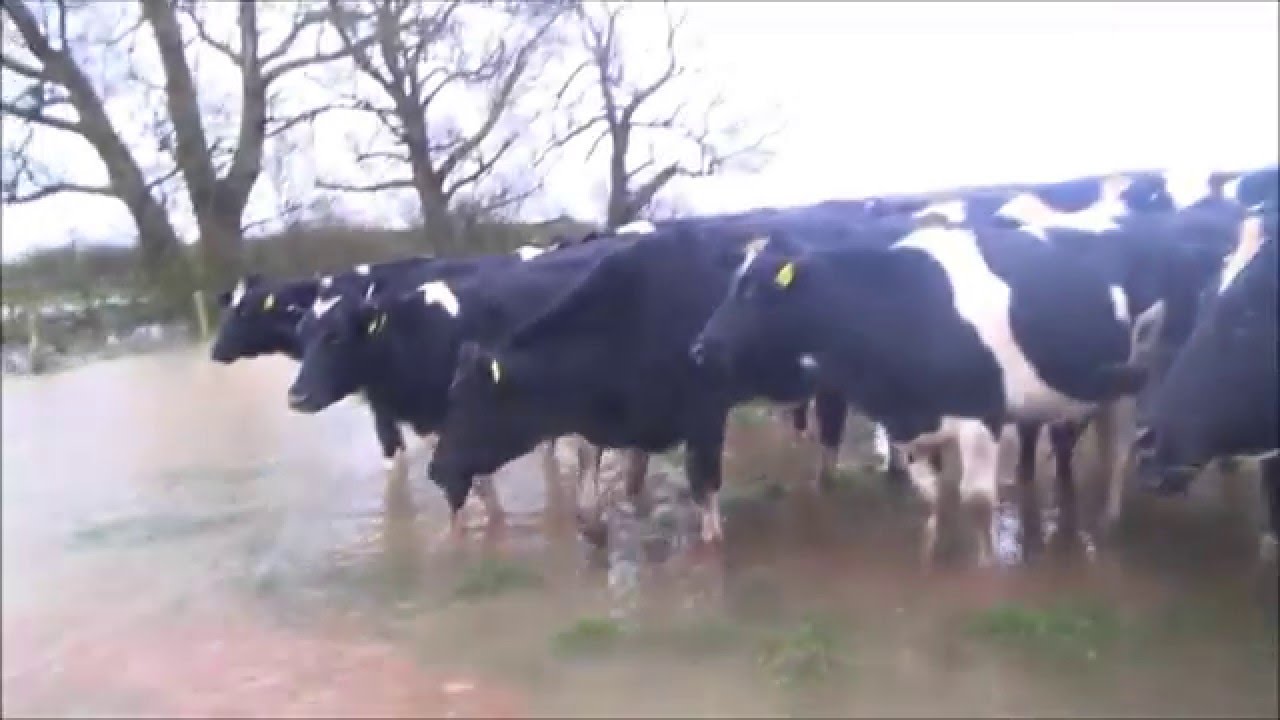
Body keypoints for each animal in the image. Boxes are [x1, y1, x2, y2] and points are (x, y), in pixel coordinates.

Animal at [690, 222, 1168, 566]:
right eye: (732, 284)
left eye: (754, 288)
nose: (699, 348)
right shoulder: (907, 423)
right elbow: (933, 494)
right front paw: (930, 553)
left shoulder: (980, 416)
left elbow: (977, 501)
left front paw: (984, 567)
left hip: (1130, 381)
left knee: (1116, 452)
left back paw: (1107, 522)